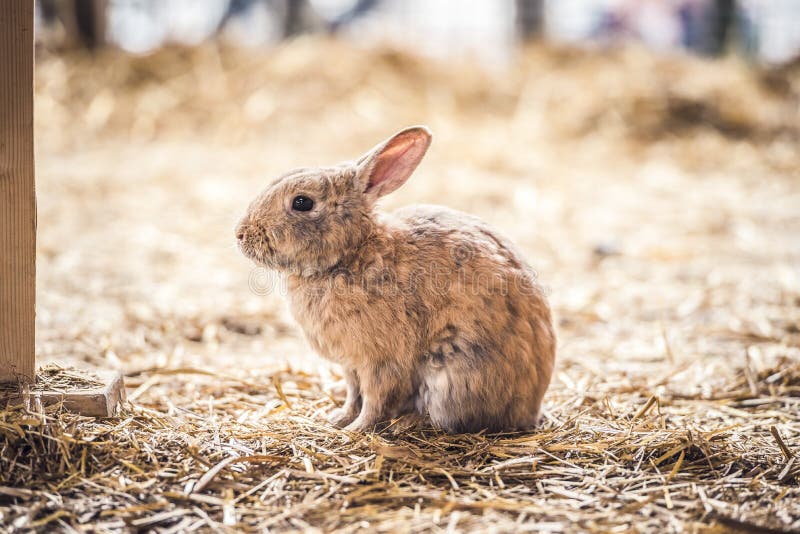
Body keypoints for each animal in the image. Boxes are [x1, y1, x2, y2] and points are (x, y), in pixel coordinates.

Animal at [236, 126, 556, 433]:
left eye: (302, 202)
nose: (240, 234)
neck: (353, 252)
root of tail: (530, 407)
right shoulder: (351, 366)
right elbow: (354, 394)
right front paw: (337, 419)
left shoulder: (381, 362)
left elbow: (374, 400)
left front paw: (355, 429)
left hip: (452, 375)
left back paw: (407, 423)